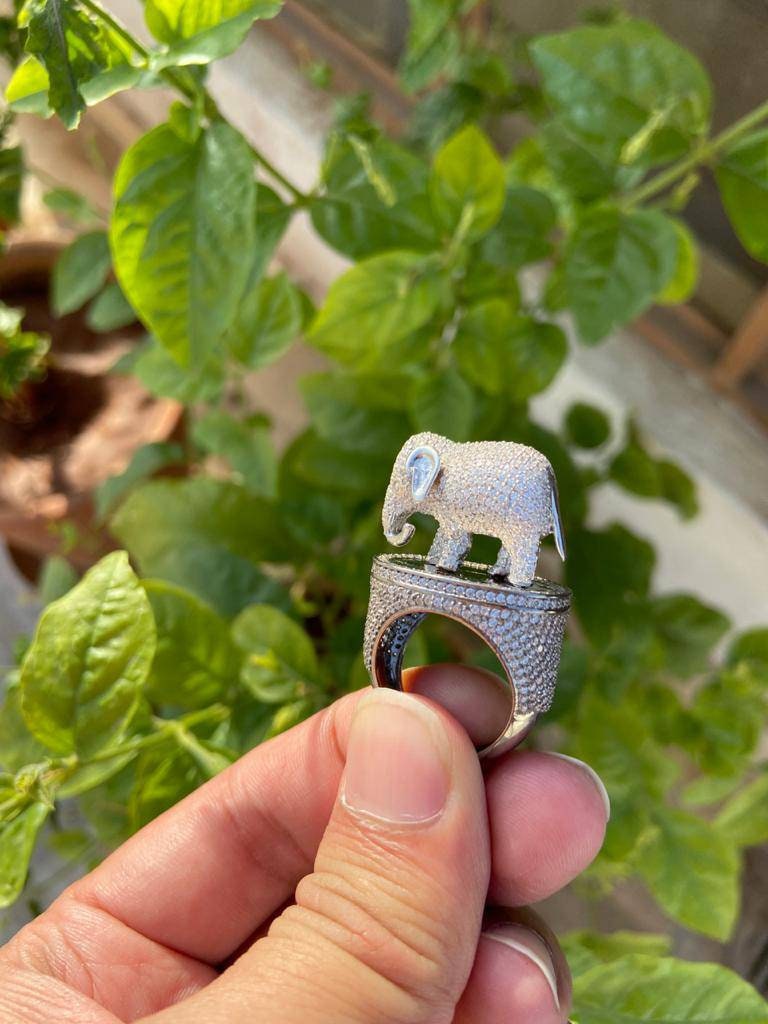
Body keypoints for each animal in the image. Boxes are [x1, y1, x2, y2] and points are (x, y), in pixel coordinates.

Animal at [381, 432, 566, 587]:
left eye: (398, 484)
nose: (410, 528)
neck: (446, 451)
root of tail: (549, 470)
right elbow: (443, 533)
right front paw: (431, 562)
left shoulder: (453, 508)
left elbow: (460, 540)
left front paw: (443, 567)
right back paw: (496, 573)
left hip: (524, 519)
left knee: (524, 550)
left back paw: (517, 583)